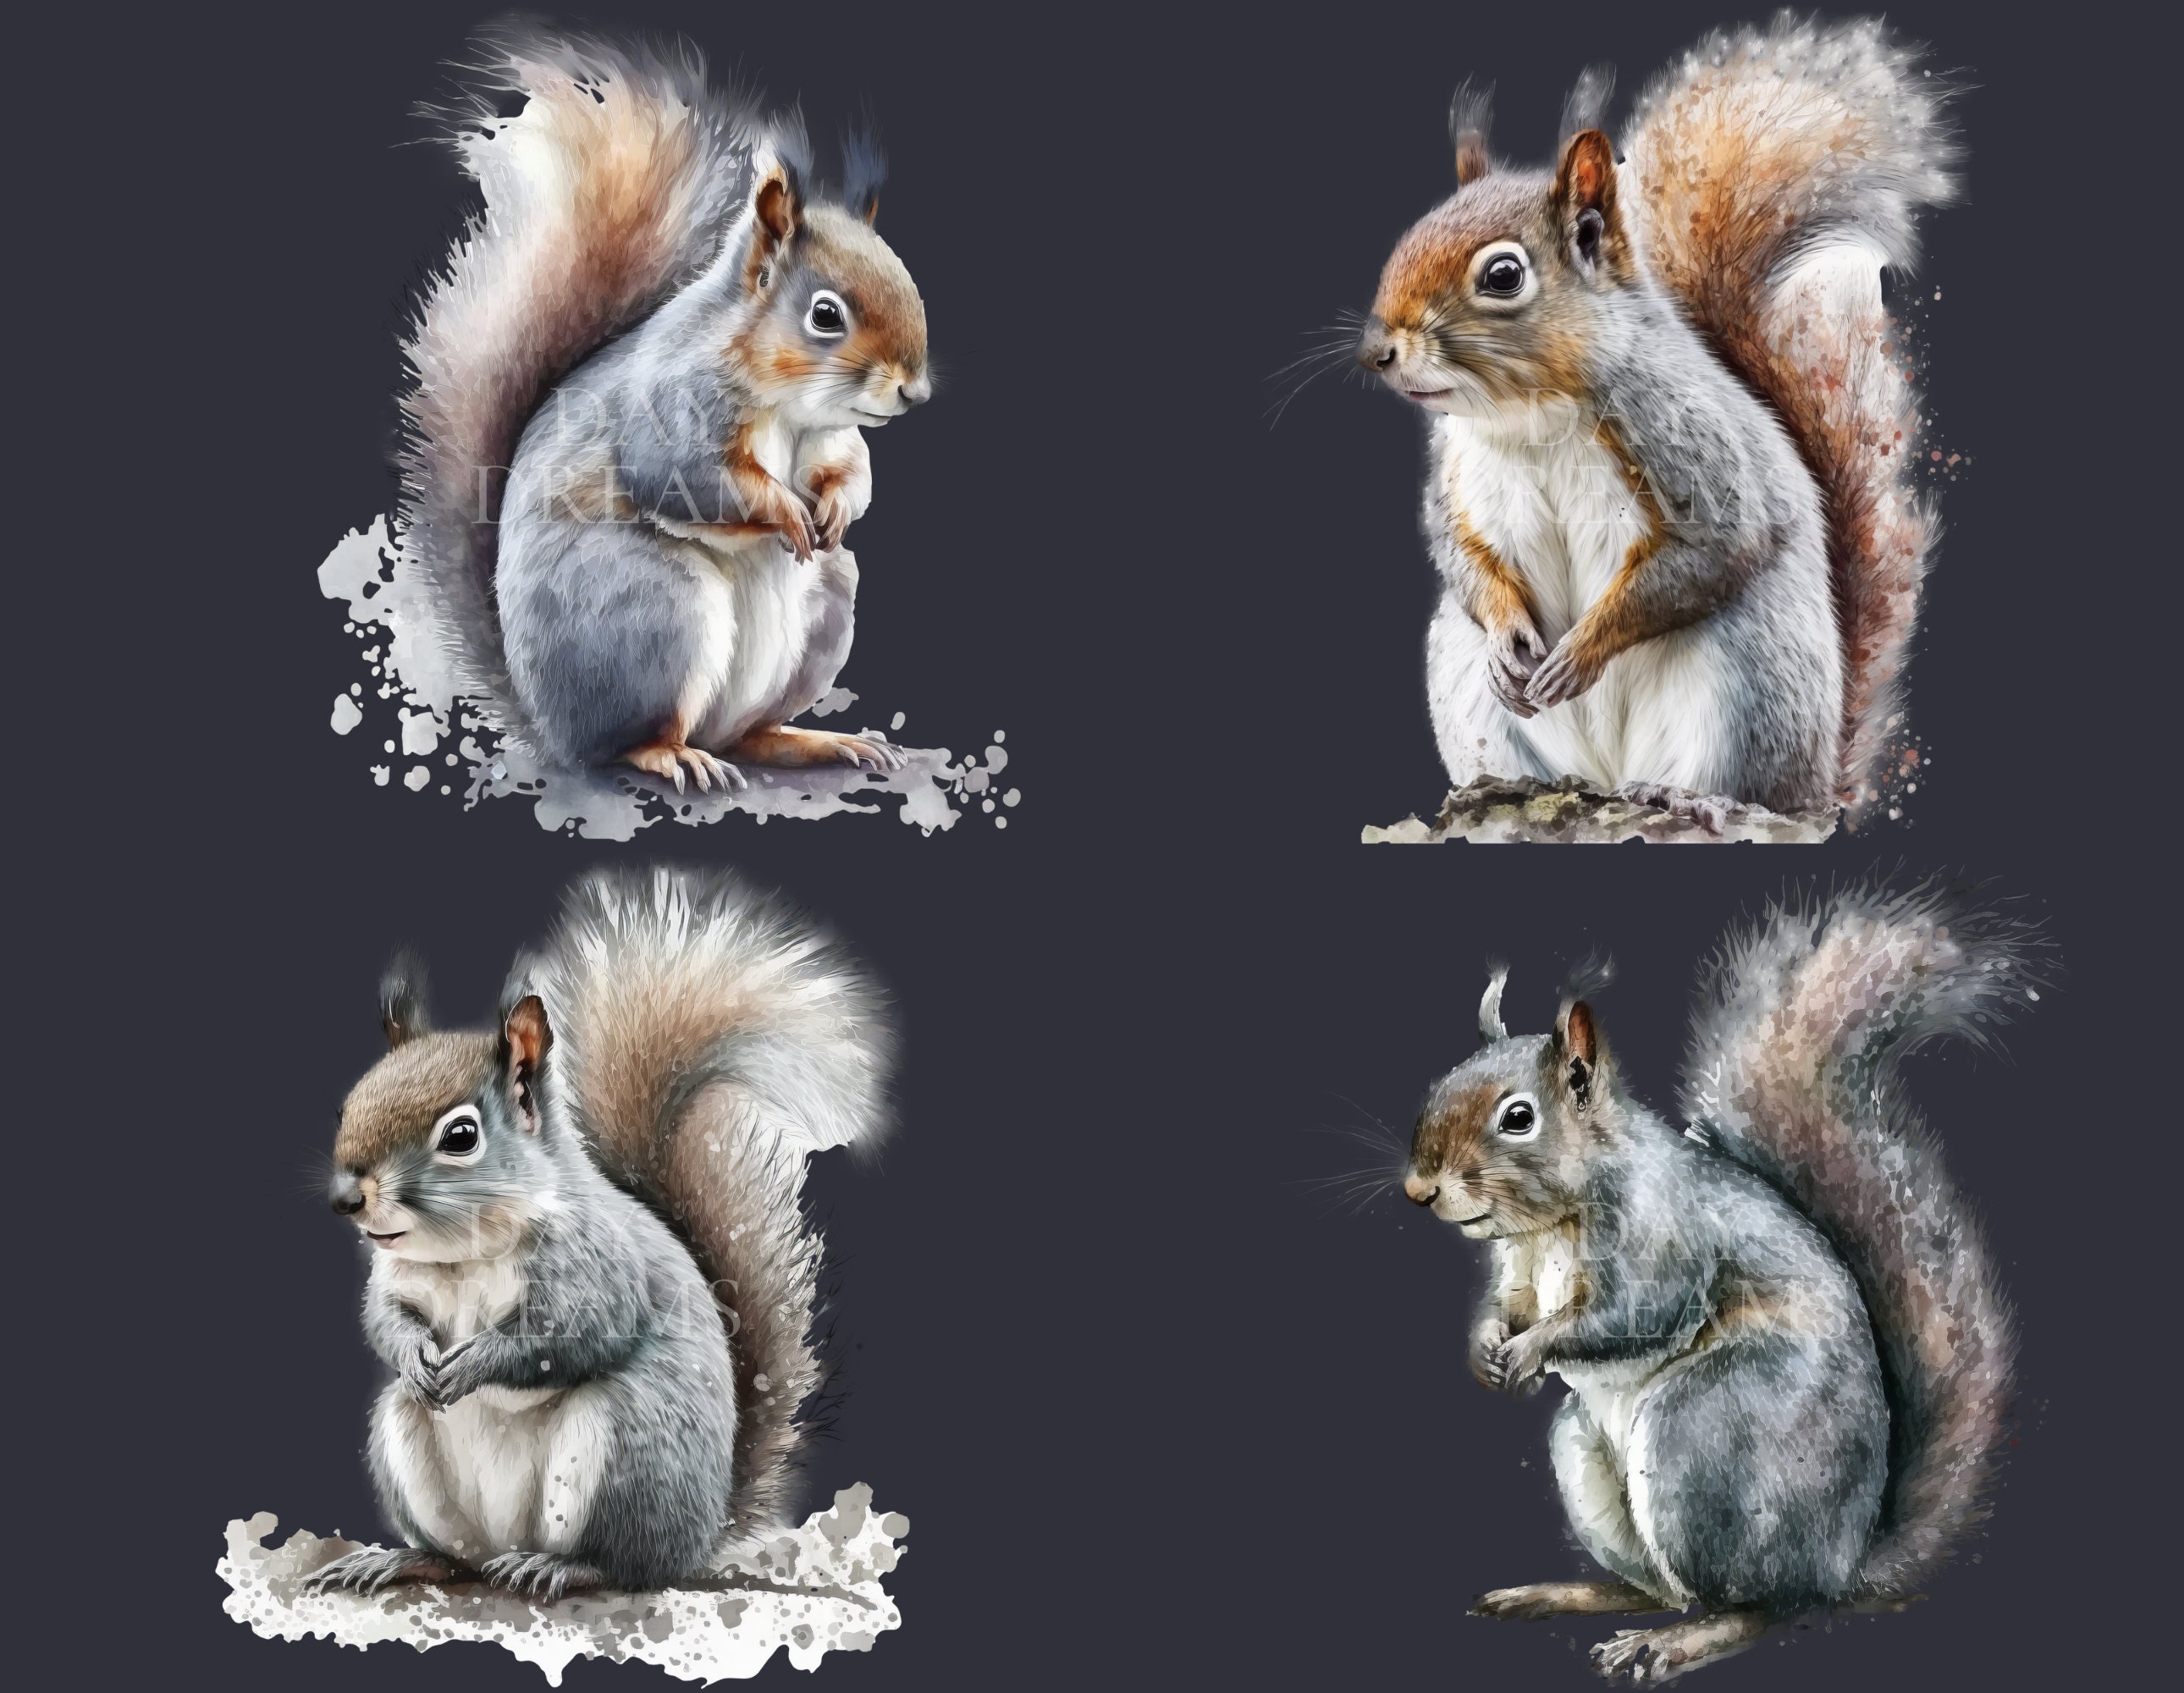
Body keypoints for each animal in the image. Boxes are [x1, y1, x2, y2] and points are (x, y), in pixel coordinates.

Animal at [304, 866, 890, 1601]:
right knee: (454, 1552)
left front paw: (477, 1362)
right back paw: (403, 1559)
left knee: (627, 1566)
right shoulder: (396, 1284)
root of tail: (701, 1536)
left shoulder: (598, 1266)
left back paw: (560, 1566)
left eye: (460, 1136)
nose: (345, 1199)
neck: (463, 1254)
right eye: (348, 1106)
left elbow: (573, 1337)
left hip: (625, 1450)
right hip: (405, 1436)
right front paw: (414, 1354)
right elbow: (385, 1321)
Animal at [397, 29, 931, 794]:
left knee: (750, 733)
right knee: (634, 737)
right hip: (653, 612)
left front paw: (834, 508)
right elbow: (686, 475)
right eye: (826, 315)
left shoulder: (832, 436)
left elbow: (848, 471)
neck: (789, 405)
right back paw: (670, 753)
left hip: (827, 603)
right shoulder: (674, 405)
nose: (914, 391)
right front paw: (786, 511)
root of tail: (551, 726)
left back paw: (813, 740)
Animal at [1355, 16, 1957, 821]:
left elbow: (1718, 548)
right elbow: (1459, 550)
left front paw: (1581, 651)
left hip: (1748, 680)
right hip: (1466, 688)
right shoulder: (1457, 474)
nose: (1376, 352)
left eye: (1503, 275)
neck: (1527, 417)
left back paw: (1686, 799)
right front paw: (1510, 636)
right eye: (1413, 233)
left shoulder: (1688, 436)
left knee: (1737, 778)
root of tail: (1819, 785)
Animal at [1400, 882, 2036, 1680]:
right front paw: (1488, 1347)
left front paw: (1529, 1350)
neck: (1548, 1224)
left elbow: (1633, 1314)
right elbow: (1506, 1306)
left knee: (1760, 1607)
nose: (1418, 1189)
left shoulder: (1662, 1238)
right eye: (1439, 1084)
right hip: (1586, 1454)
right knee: (1663, 1589)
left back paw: (1677, 1642)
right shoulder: (1516, 1268)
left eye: (1518, 1117)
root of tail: (1842, 1562)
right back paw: (1565, 1595)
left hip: (1703, 1437)